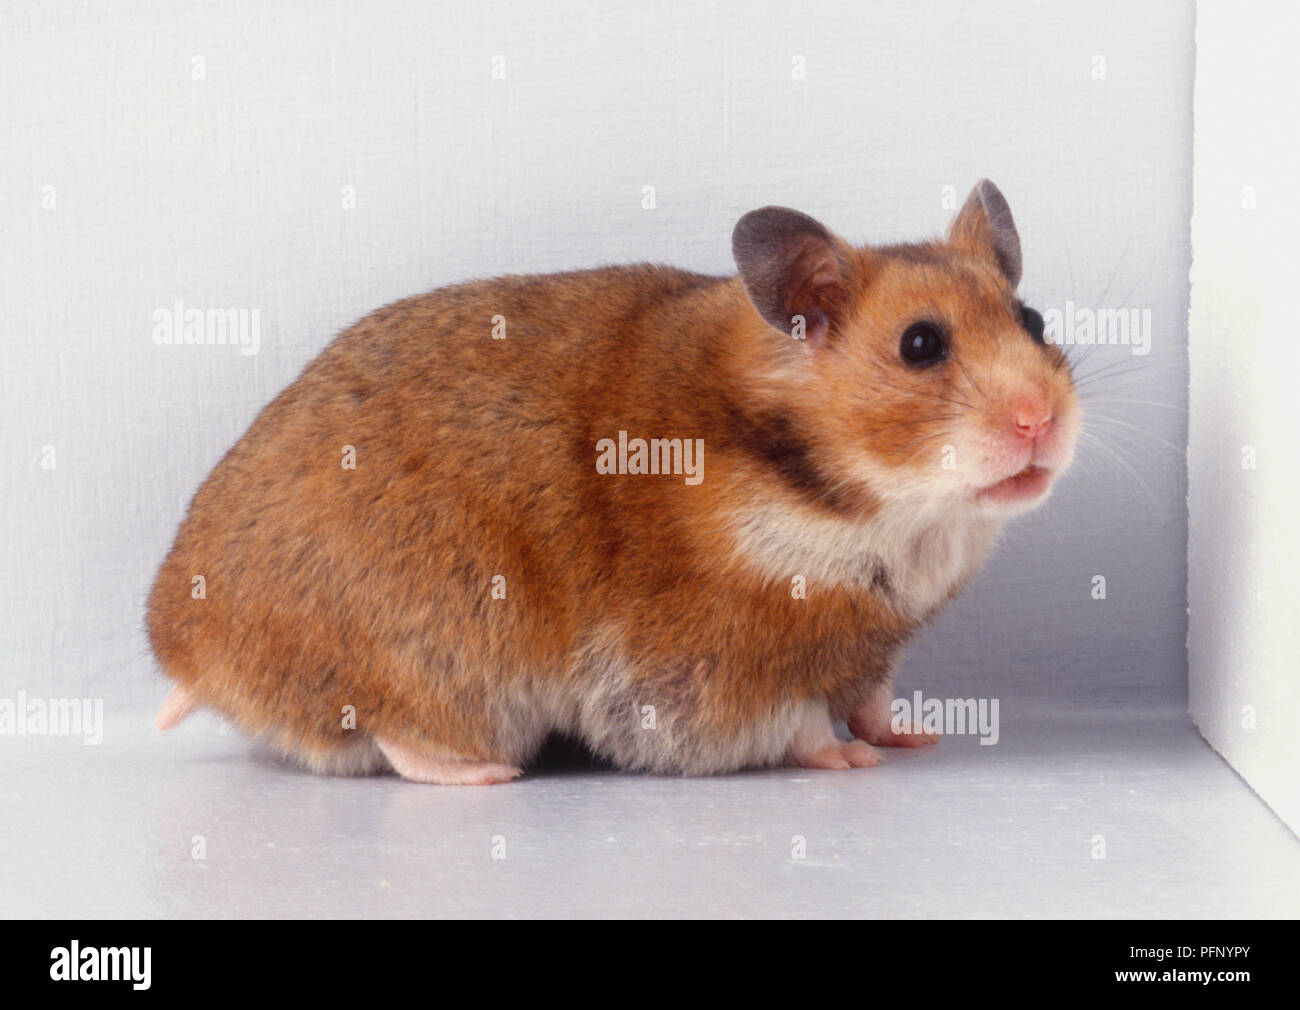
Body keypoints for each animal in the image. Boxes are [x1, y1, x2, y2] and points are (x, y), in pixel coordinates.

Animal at [148, 179, 1079, 784]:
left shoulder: (871, 647)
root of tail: (183, 647)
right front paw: (849, 761)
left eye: (1033, 320)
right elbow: (803, 721)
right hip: (438, 652)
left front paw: (912, 739)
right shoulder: (718, 668)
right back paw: (486, 776)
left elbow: (873, 698)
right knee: (394, 737)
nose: (1045, 421)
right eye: (921, 345)